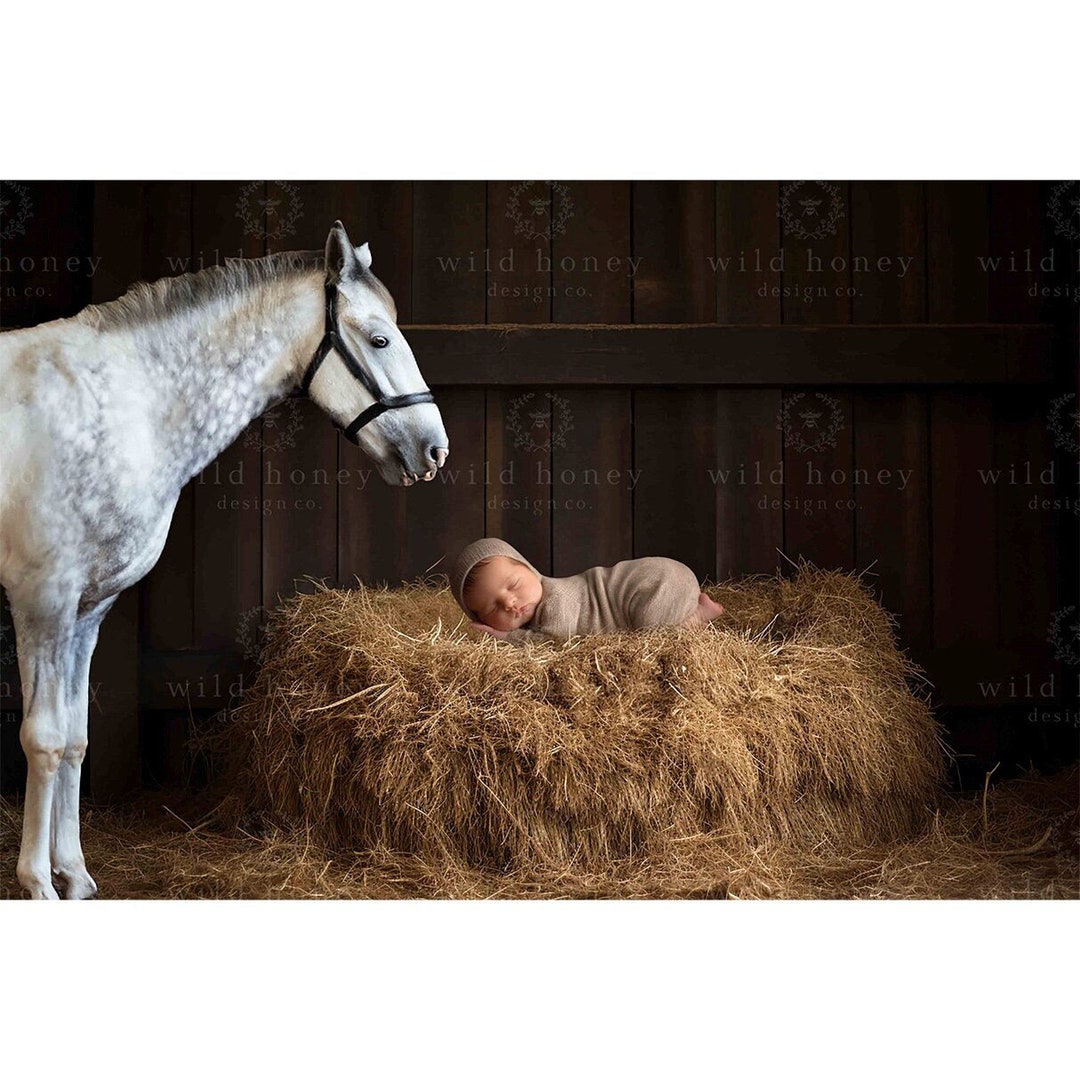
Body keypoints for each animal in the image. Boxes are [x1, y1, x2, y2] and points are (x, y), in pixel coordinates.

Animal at [0, 220, 449, 898]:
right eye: (378, 338)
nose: (434, 449)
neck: (122, 404)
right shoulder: (42, 602)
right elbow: (43, 738)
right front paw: (37, 883)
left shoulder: (87, 609)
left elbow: (75, 737)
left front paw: (74, 874)